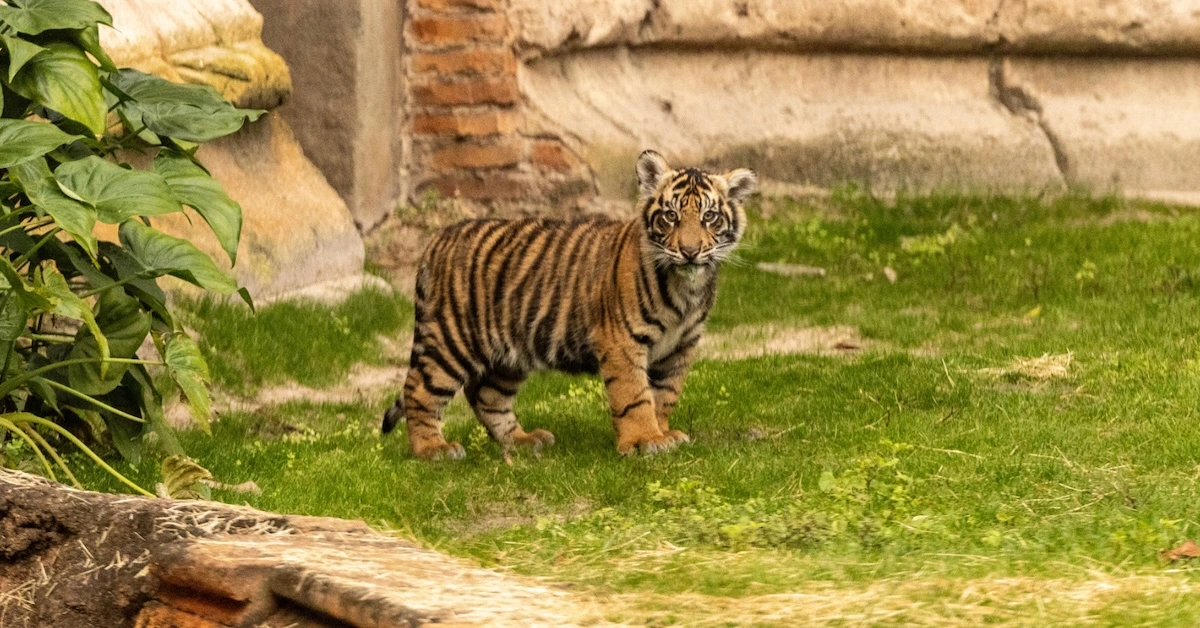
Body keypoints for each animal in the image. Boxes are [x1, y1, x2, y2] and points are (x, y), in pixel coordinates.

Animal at [381, 150, 758, 459]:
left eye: (709, 217)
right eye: (670, 216)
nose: (690, 251)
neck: (686, 288)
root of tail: (436, 240)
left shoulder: (680, 347)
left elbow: (664, 395)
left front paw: (664, 433)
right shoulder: (622, 342)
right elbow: (635, 396)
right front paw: (645, 441)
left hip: (507, 354)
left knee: (486, 395)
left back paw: (522, 441)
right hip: (452, 340)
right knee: (418, 391)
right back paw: (433, 449)